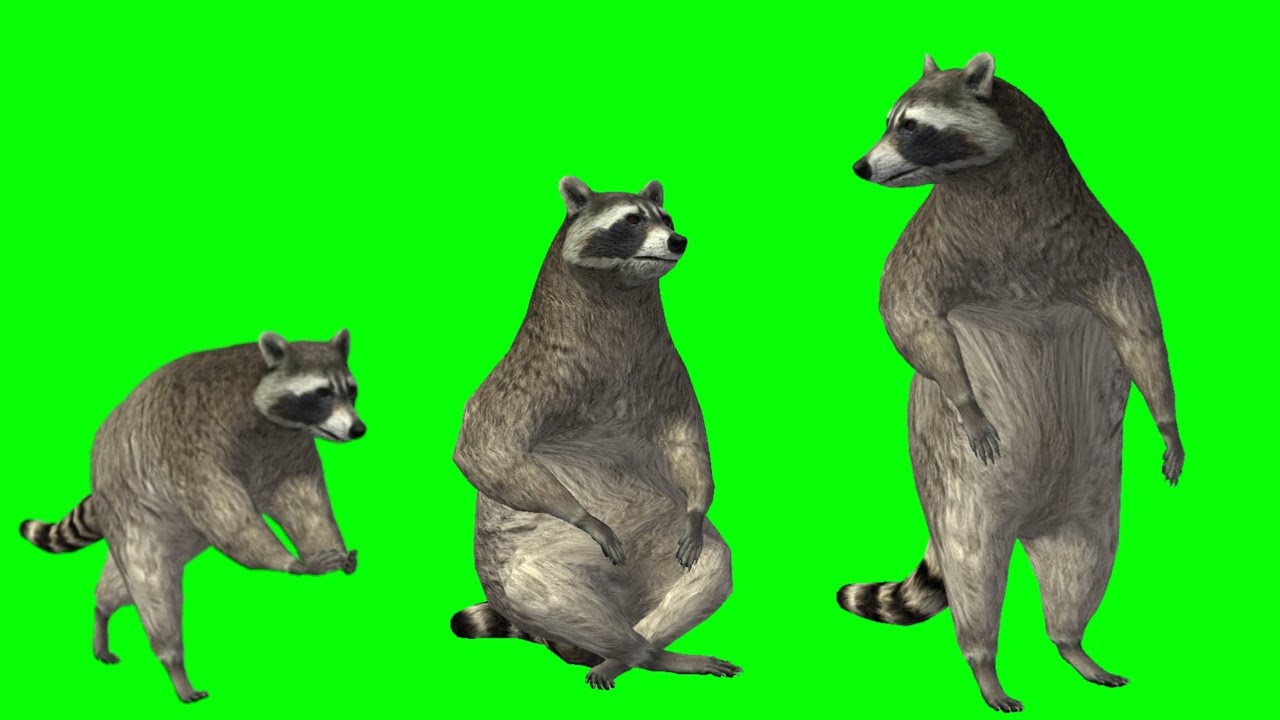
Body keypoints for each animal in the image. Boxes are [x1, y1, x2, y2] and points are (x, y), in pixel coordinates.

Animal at [20, 331, 363, 702]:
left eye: (351, 390)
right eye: (322, 393)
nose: (358, 429)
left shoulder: (285, 451)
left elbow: (307, 503)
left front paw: (328, 548)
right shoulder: (192, 443)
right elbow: (230, 517)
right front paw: (291, 562)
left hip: (174, 531)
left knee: (119, 587)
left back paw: (102, 611)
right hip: (132, 510)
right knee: (151, 585)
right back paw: (173, 664)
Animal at [450, 177, 739, 690]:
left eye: (668, 219)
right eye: (632, 220)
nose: (678, 240)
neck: (620, 295)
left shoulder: (664, 371)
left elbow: (686, 437)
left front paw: (699, 502)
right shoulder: (536, 372)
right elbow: (482, 446)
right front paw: (588, 518)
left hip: (659, 540)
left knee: (713, 565)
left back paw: (646, 649)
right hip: (530, 566)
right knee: (536, 591)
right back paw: (636, 654)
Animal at [842, 54, 1184, 712]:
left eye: (911, 126)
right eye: (888, 121)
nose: (860, 166)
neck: (990, 180)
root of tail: (1032, 521)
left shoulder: (1092, 236)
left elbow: (1140, 329)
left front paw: (1168, 422)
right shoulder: (937, 240)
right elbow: (906, 313)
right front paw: (967, 399)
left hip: (1089, 499)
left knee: (1082, 567)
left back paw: (1072, 643)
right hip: (957, 485)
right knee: (974, 571)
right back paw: (984, 663)